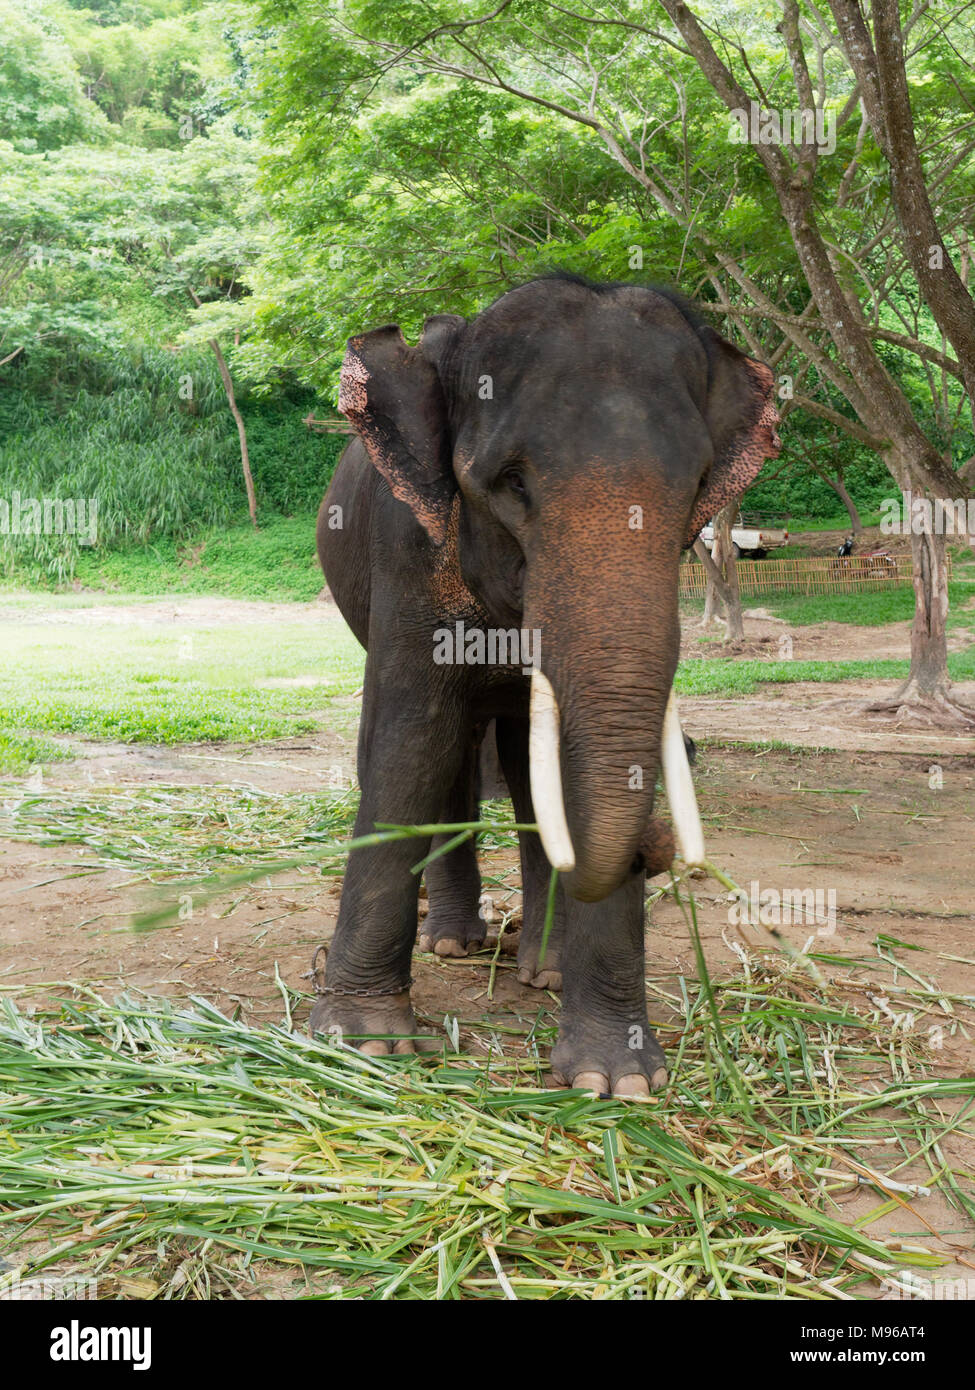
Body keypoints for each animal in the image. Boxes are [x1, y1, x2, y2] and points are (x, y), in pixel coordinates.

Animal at [311, 273, 780, 1098]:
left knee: (522, 766)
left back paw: (545, 968)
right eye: (510, 483)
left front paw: (615, 1080)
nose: (657, 848)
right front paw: (367, 1043)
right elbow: (410, 748)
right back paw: (455, 946)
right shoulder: (408, 550)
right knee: (450, 756)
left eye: (696, 486)